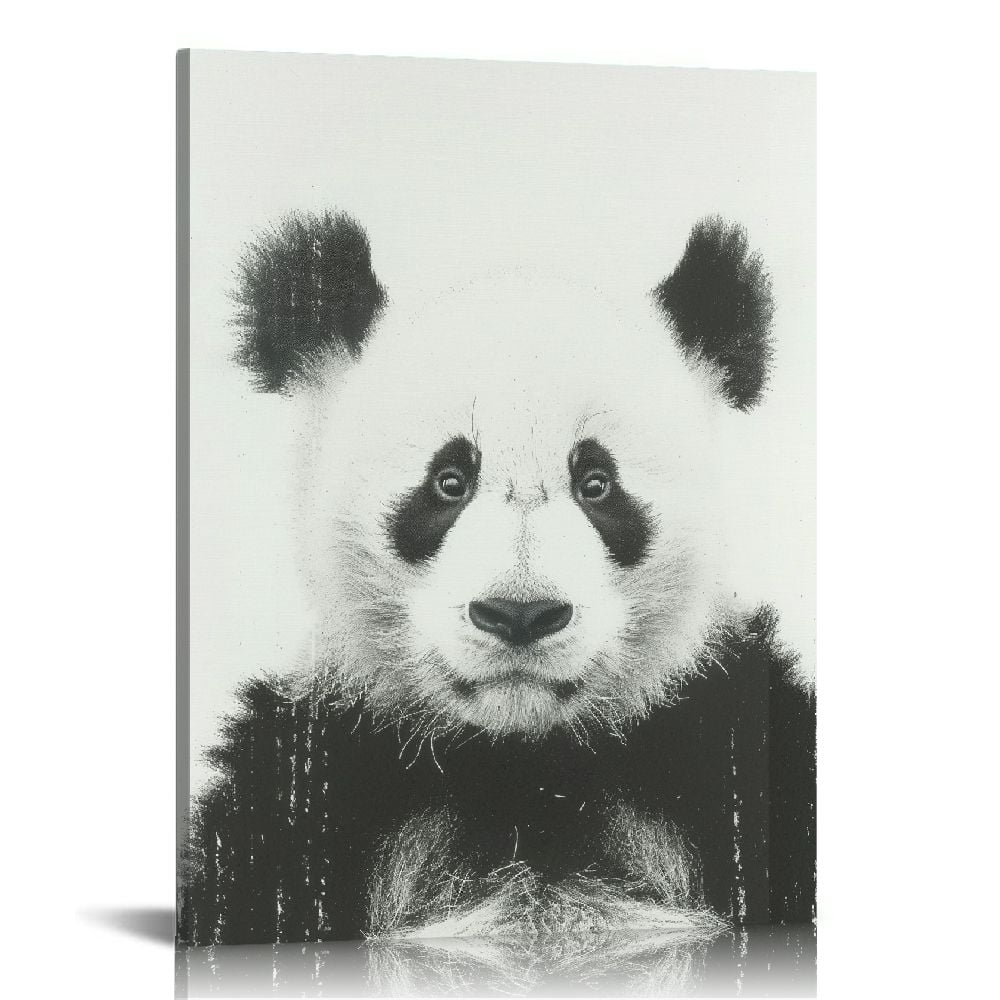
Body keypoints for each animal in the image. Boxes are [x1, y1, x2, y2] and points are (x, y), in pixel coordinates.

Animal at [178, 210, 815, 948]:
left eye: (597, 484)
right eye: (448, 482)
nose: (519, 614)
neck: (525, 770)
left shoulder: (728, 742)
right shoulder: (313, 781)